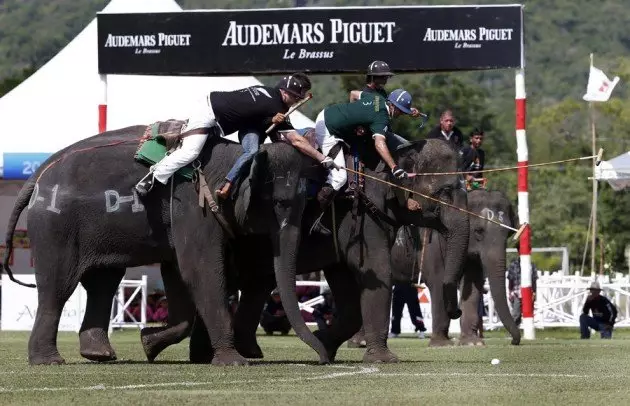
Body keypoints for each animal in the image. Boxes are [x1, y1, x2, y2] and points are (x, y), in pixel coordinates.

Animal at [3, 123, 330, 364]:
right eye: (281, 203)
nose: (323, 359)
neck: (238, 155)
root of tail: (38, 174)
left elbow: (178, 275)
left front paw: (147, 343)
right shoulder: (192, 207)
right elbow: (199, 270)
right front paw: (234, 363)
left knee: (103, 283)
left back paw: (100, 355)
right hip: (55, 225)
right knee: (58, 287)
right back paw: (49, 361)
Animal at [392, 189, 520, 348]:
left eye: (509, 233)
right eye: (478, 231)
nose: (514, 341)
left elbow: (472, 283)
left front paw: (472, 343)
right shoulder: (431, 245)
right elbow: (438, 282)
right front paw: (442, 344)